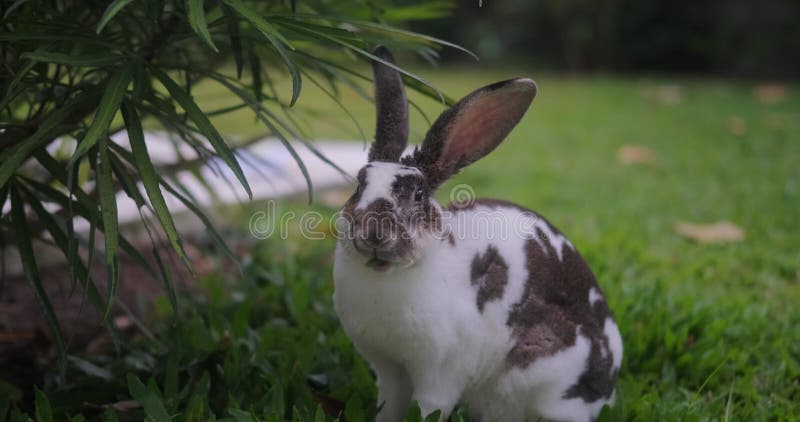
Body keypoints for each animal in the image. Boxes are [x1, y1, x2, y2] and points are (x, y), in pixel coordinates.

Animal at [332, 46, 622, 422]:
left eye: (418, 195)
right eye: (358, 185)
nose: (372, 234)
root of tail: (608, 383)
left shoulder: (439, 375)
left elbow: (429, 408)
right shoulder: (390, 371)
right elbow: (390, 405)